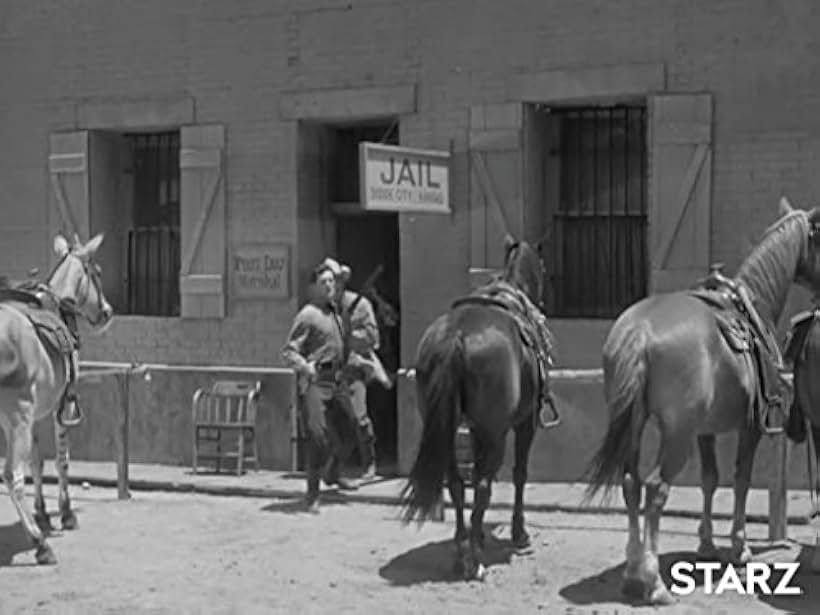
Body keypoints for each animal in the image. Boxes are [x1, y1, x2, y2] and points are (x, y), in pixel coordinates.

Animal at [0, 233, 112, 564]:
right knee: (12, 476)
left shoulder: (36, 414)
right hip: (17, 416)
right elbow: (62, 460)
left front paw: (42, 514)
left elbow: (37, 461)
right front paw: (65, 513)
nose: (107, 312)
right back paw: (40, 545)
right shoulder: (61, 406)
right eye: (97, 272)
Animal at [400, 235, 556, 584]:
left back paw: (462, 551)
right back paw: (475, 559)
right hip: (496, 431)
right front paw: (518, 533)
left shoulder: (472, 427)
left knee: (457, 484)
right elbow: (519, 474)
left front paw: (480, 533)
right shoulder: (524, 423)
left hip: (446, 429)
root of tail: (456, 335)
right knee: (482, 486)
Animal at [580, 199, 820, 608]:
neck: (753, 305)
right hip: (675, 435)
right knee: (655, 488)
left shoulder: (705, 431)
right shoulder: (750, 427)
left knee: (631, 483)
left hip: (634, 423)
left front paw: (707, 544)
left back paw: (632, 571)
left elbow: (710, 479)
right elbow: (740, 480)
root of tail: (639, 332)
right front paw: (739, 547)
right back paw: (654, 582)